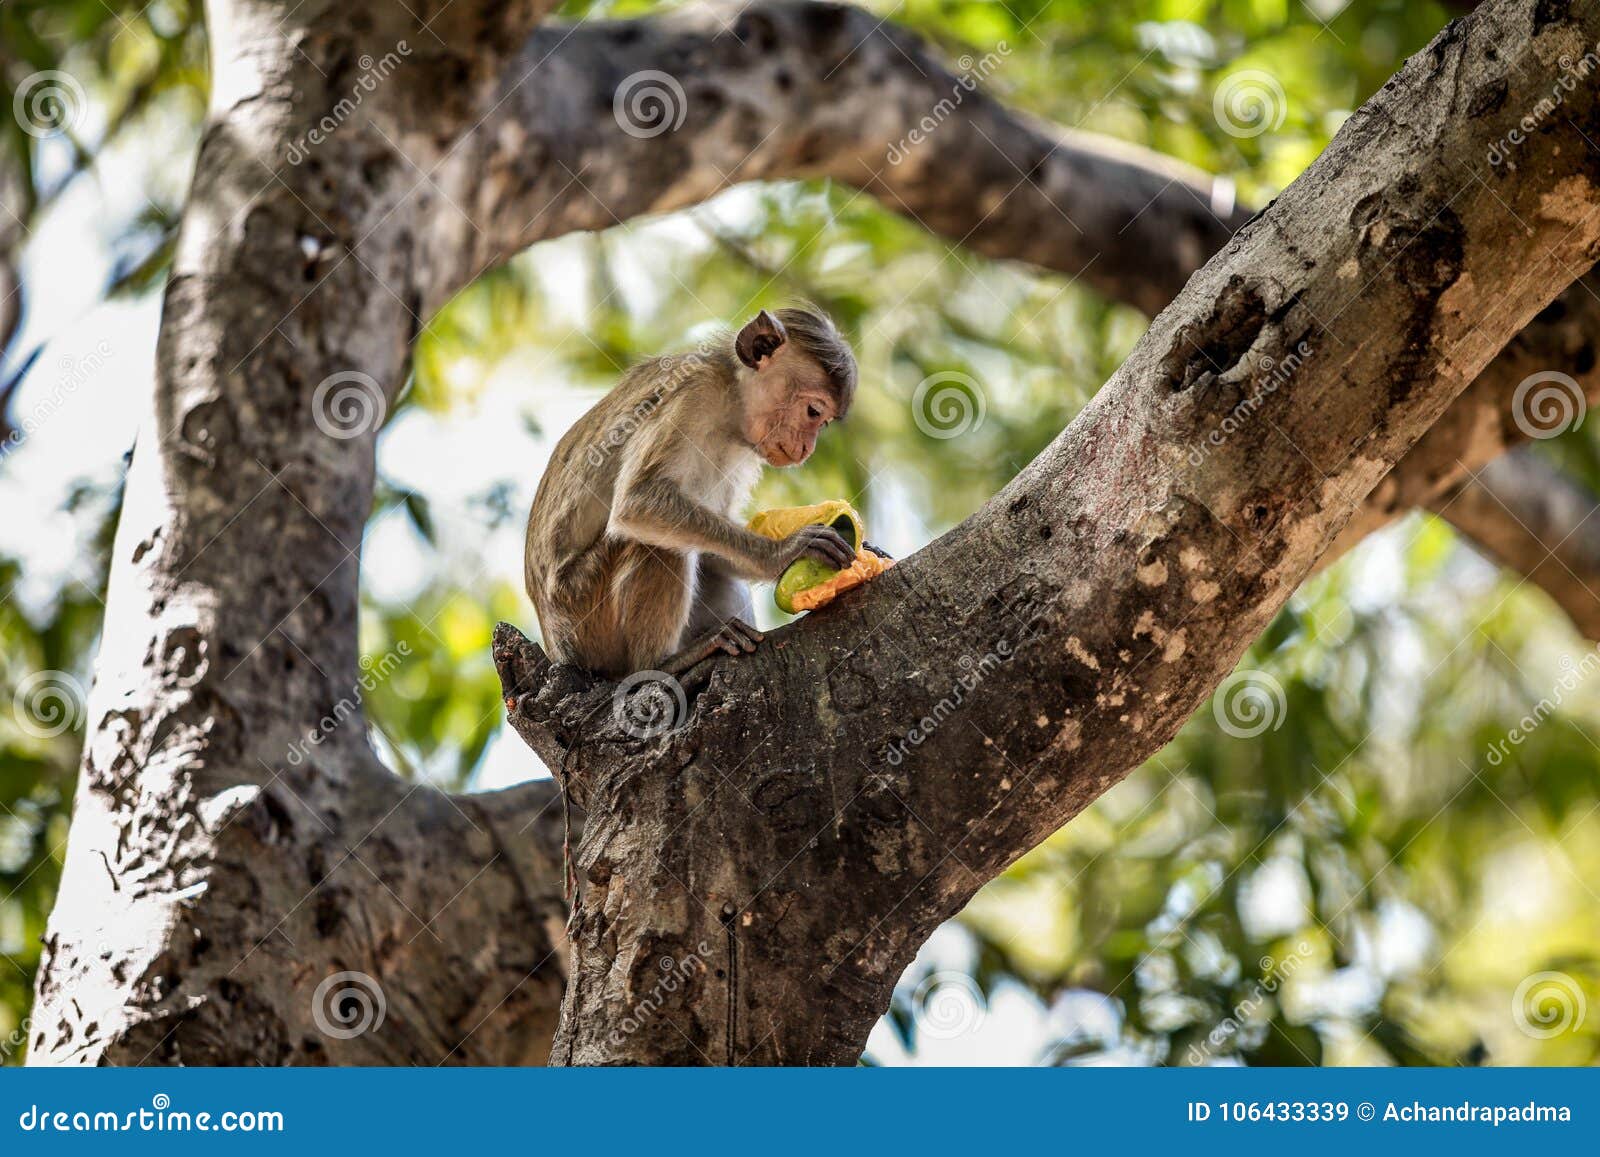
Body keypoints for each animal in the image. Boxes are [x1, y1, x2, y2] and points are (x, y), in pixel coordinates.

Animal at [524, 307, 860, 678]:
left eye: (823, 422)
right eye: (813, 412)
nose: (807, 449)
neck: (731, 404)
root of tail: (558, 649)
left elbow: (714, 544)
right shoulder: (693, 395)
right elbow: (638, 501)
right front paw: (781, 554)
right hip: (583, 614)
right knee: (652, 544)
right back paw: (662, 663)